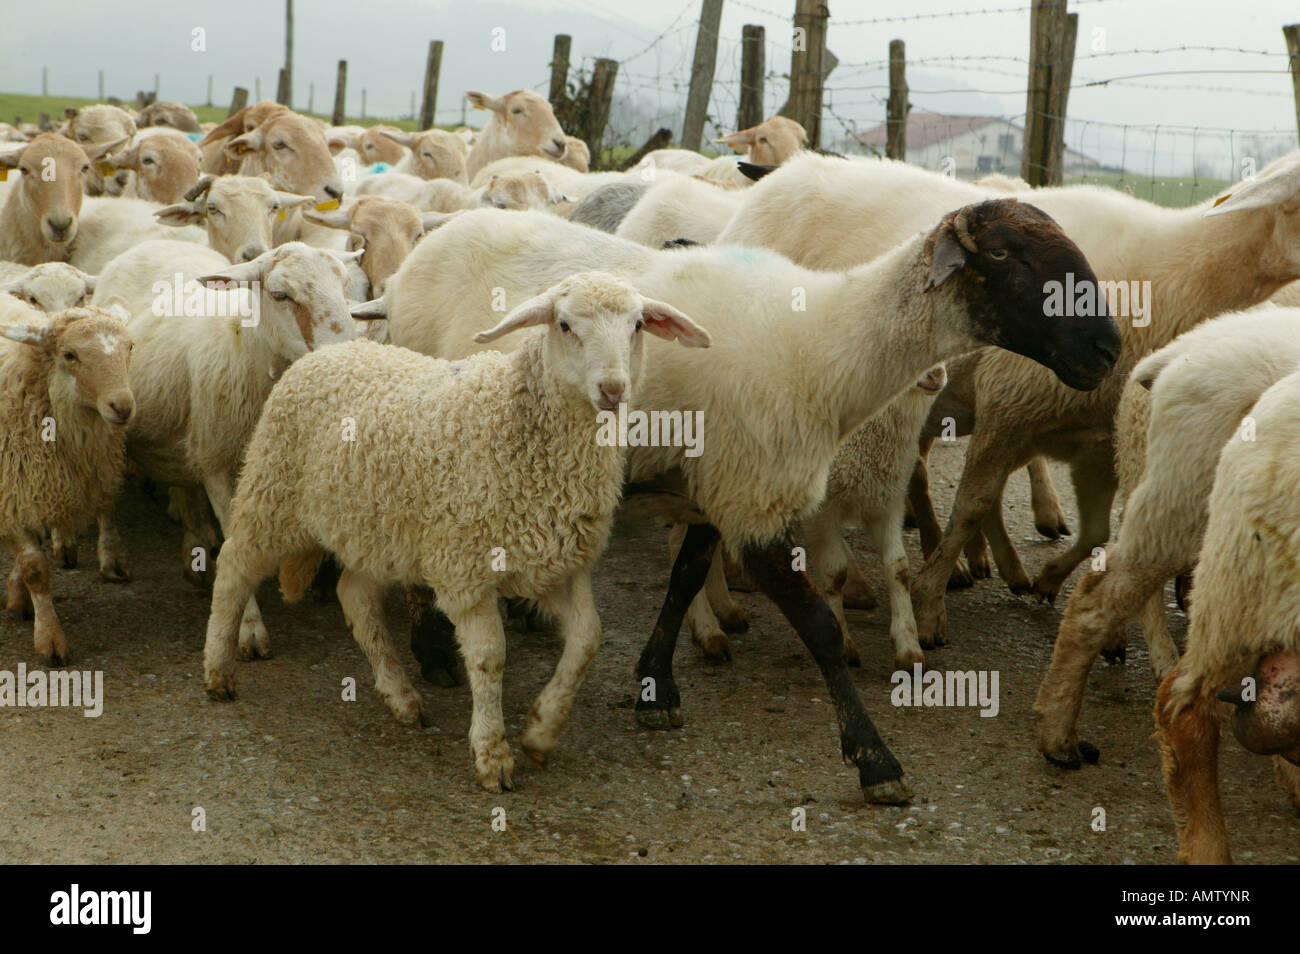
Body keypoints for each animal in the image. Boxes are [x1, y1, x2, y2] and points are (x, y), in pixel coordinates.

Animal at [0, 306, 134, 665]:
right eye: (69, 355)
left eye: (130, 347)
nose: (123, 406)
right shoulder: (12, 493)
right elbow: (35, 569)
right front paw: (49, 636)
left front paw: (18, 596)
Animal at [90, 241, 364, 654]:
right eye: (280, 295)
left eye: (345, 285)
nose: (347, 353)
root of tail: (154, 242)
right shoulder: (218, 463)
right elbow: (235, 538)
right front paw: (249, 628)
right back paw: (112, 556)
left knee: (185, 482)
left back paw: (195, 551)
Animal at [204, 272, 711, 792]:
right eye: (566, 325)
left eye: (637, 326)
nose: (613, 389)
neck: (520, 428)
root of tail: (326, 353)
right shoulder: (466, 572)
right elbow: (490, 657)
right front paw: (493, 753)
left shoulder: (558, 564)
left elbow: (589, 640)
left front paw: (542, 730)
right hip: (272, 496)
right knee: (233, 568)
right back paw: (219, 670)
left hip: (377, 532)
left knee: (355, 596)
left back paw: (401, 697)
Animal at [373, 201, 1120, 802]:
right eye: (1003, 254)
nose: (1108, 346)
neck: (825, 347)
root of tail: (437, 236)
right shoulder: (754, 503)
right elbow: (819, 627)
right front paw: (875, 761)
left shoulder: (721, 488)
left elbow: (682, 580)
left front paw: (655, 687)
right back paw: (433, 653)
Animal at [719, 152, 1300, 656]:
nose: (1104, 347)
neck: (1182, 276)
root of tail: (785, 172)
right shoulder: (1010, 405)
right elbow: (972, 505)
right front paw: (930, 608)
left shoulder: (1094, 438)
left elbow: (1095, 530)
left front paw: (1058, 590)